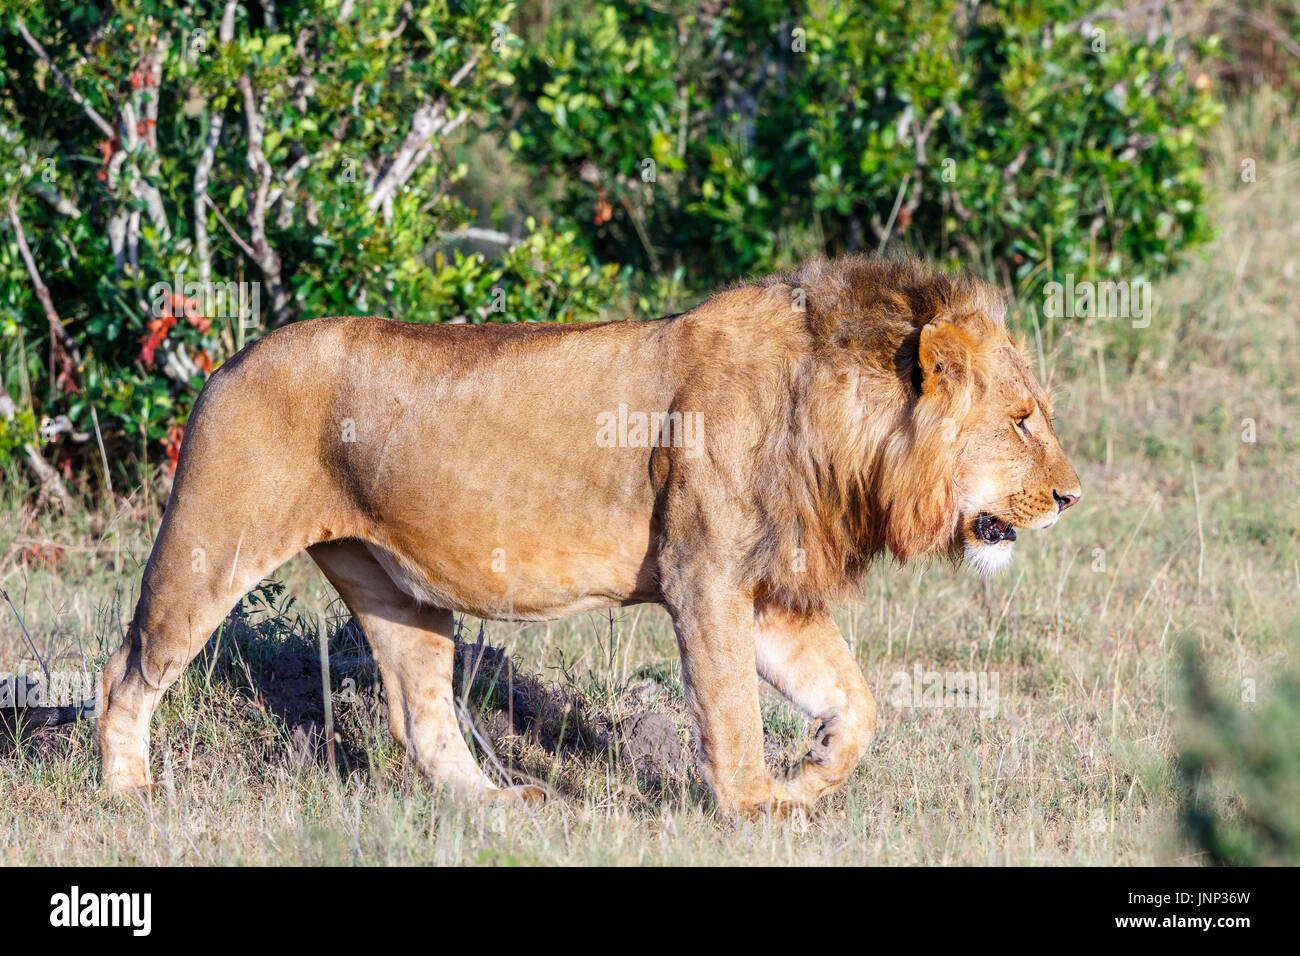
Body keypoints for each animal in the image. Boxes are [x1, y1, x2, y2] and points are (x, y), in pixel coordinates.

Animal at [96, 255, 1081, 817]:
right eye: (1023, 419)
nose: (1071, 497)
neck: (836, 426)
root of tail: (231, 358)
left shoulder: (768, 593)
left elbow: (857, 700)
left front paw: (811, 777)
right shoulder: (703, 576)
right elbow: (730, 709)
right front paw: (753, 808)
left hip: (392, 587)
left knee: (421, 716)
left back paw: (500, 806)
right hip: (210, 542)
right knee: (126, 668)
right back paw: (126, 792)